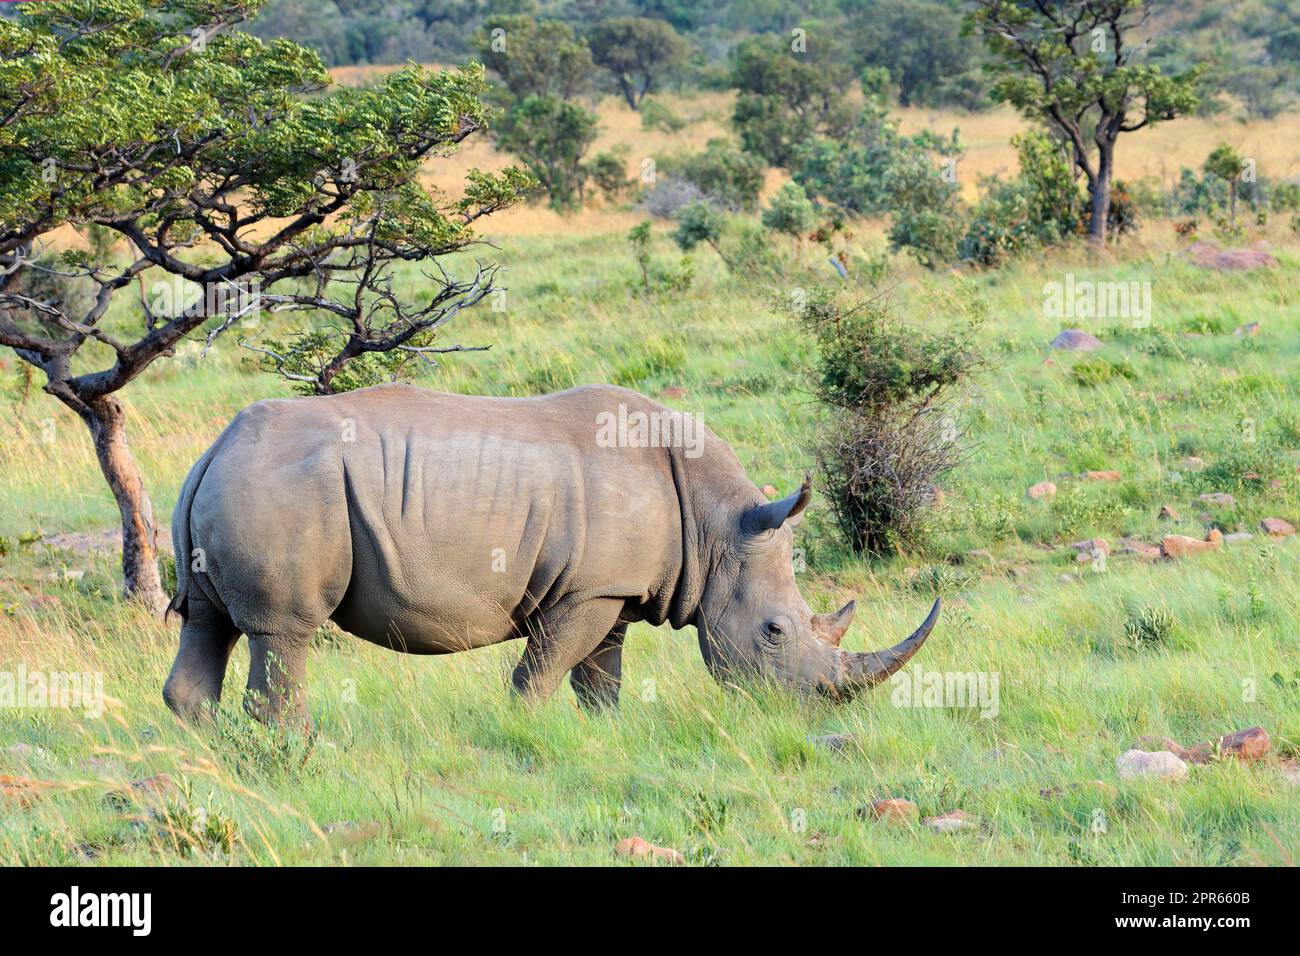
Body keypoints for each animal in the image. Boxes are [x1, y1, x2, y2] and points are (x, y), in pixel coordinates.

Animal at [163, 383, 939, 723]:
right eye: (774, 632)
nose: (808, 713)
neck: (718, 527)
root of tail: (215, 449)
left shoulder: (615, 590)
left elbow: (601, 679)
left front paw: (605, 738)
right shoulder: (587, 591)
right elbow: (540, 674)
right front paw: (530, 739)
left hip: (231, 484)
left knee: (206, 623)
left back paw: (212, 752)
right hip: (285, 491)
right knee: (283, 631)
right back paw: (295, 753)